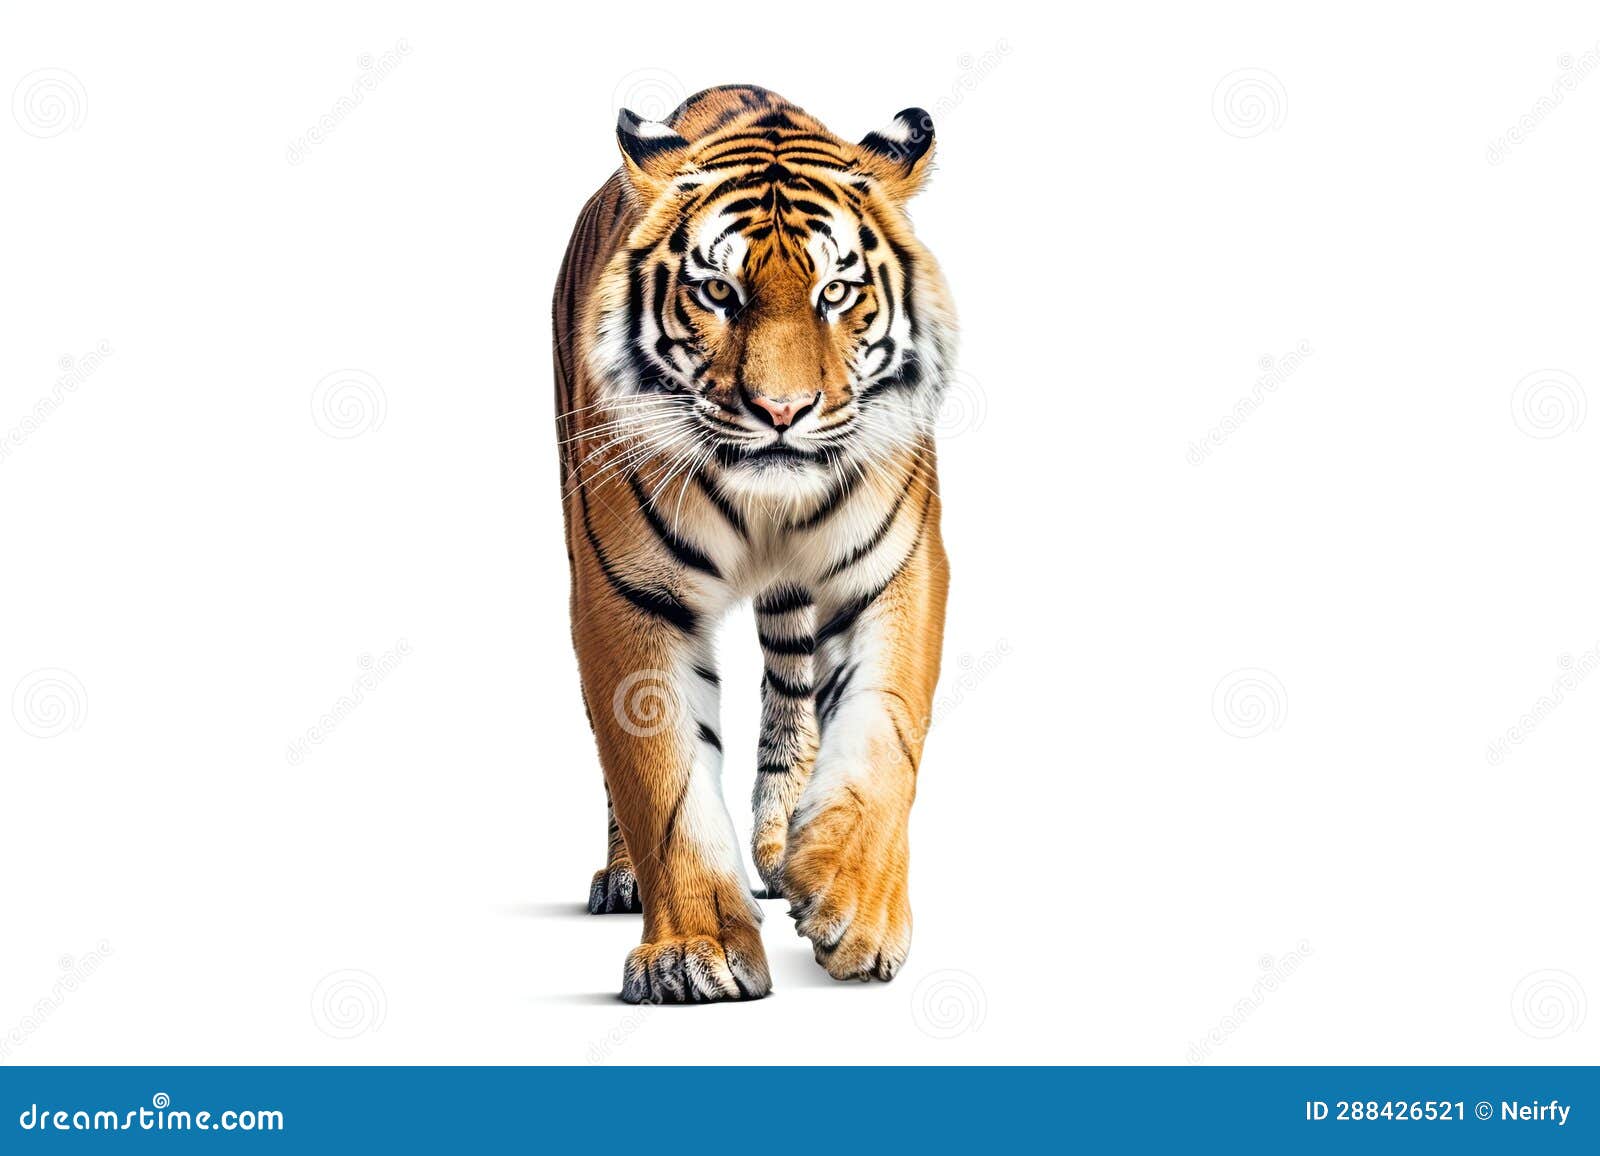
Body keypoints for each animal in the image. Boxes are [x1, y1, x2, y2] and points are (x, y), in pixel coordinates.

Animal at [552, 84, 954, 1003]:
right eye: (717, 291)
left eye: (837, 291)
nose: (782, 411)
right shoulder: (625, 593)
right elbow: (660, 775)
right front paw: (694, 948)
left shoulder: (898, 568)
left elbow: (883, 734)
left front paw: (854, 905)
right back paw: (623, 879)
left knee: (793, 697)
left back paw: (781, 850)